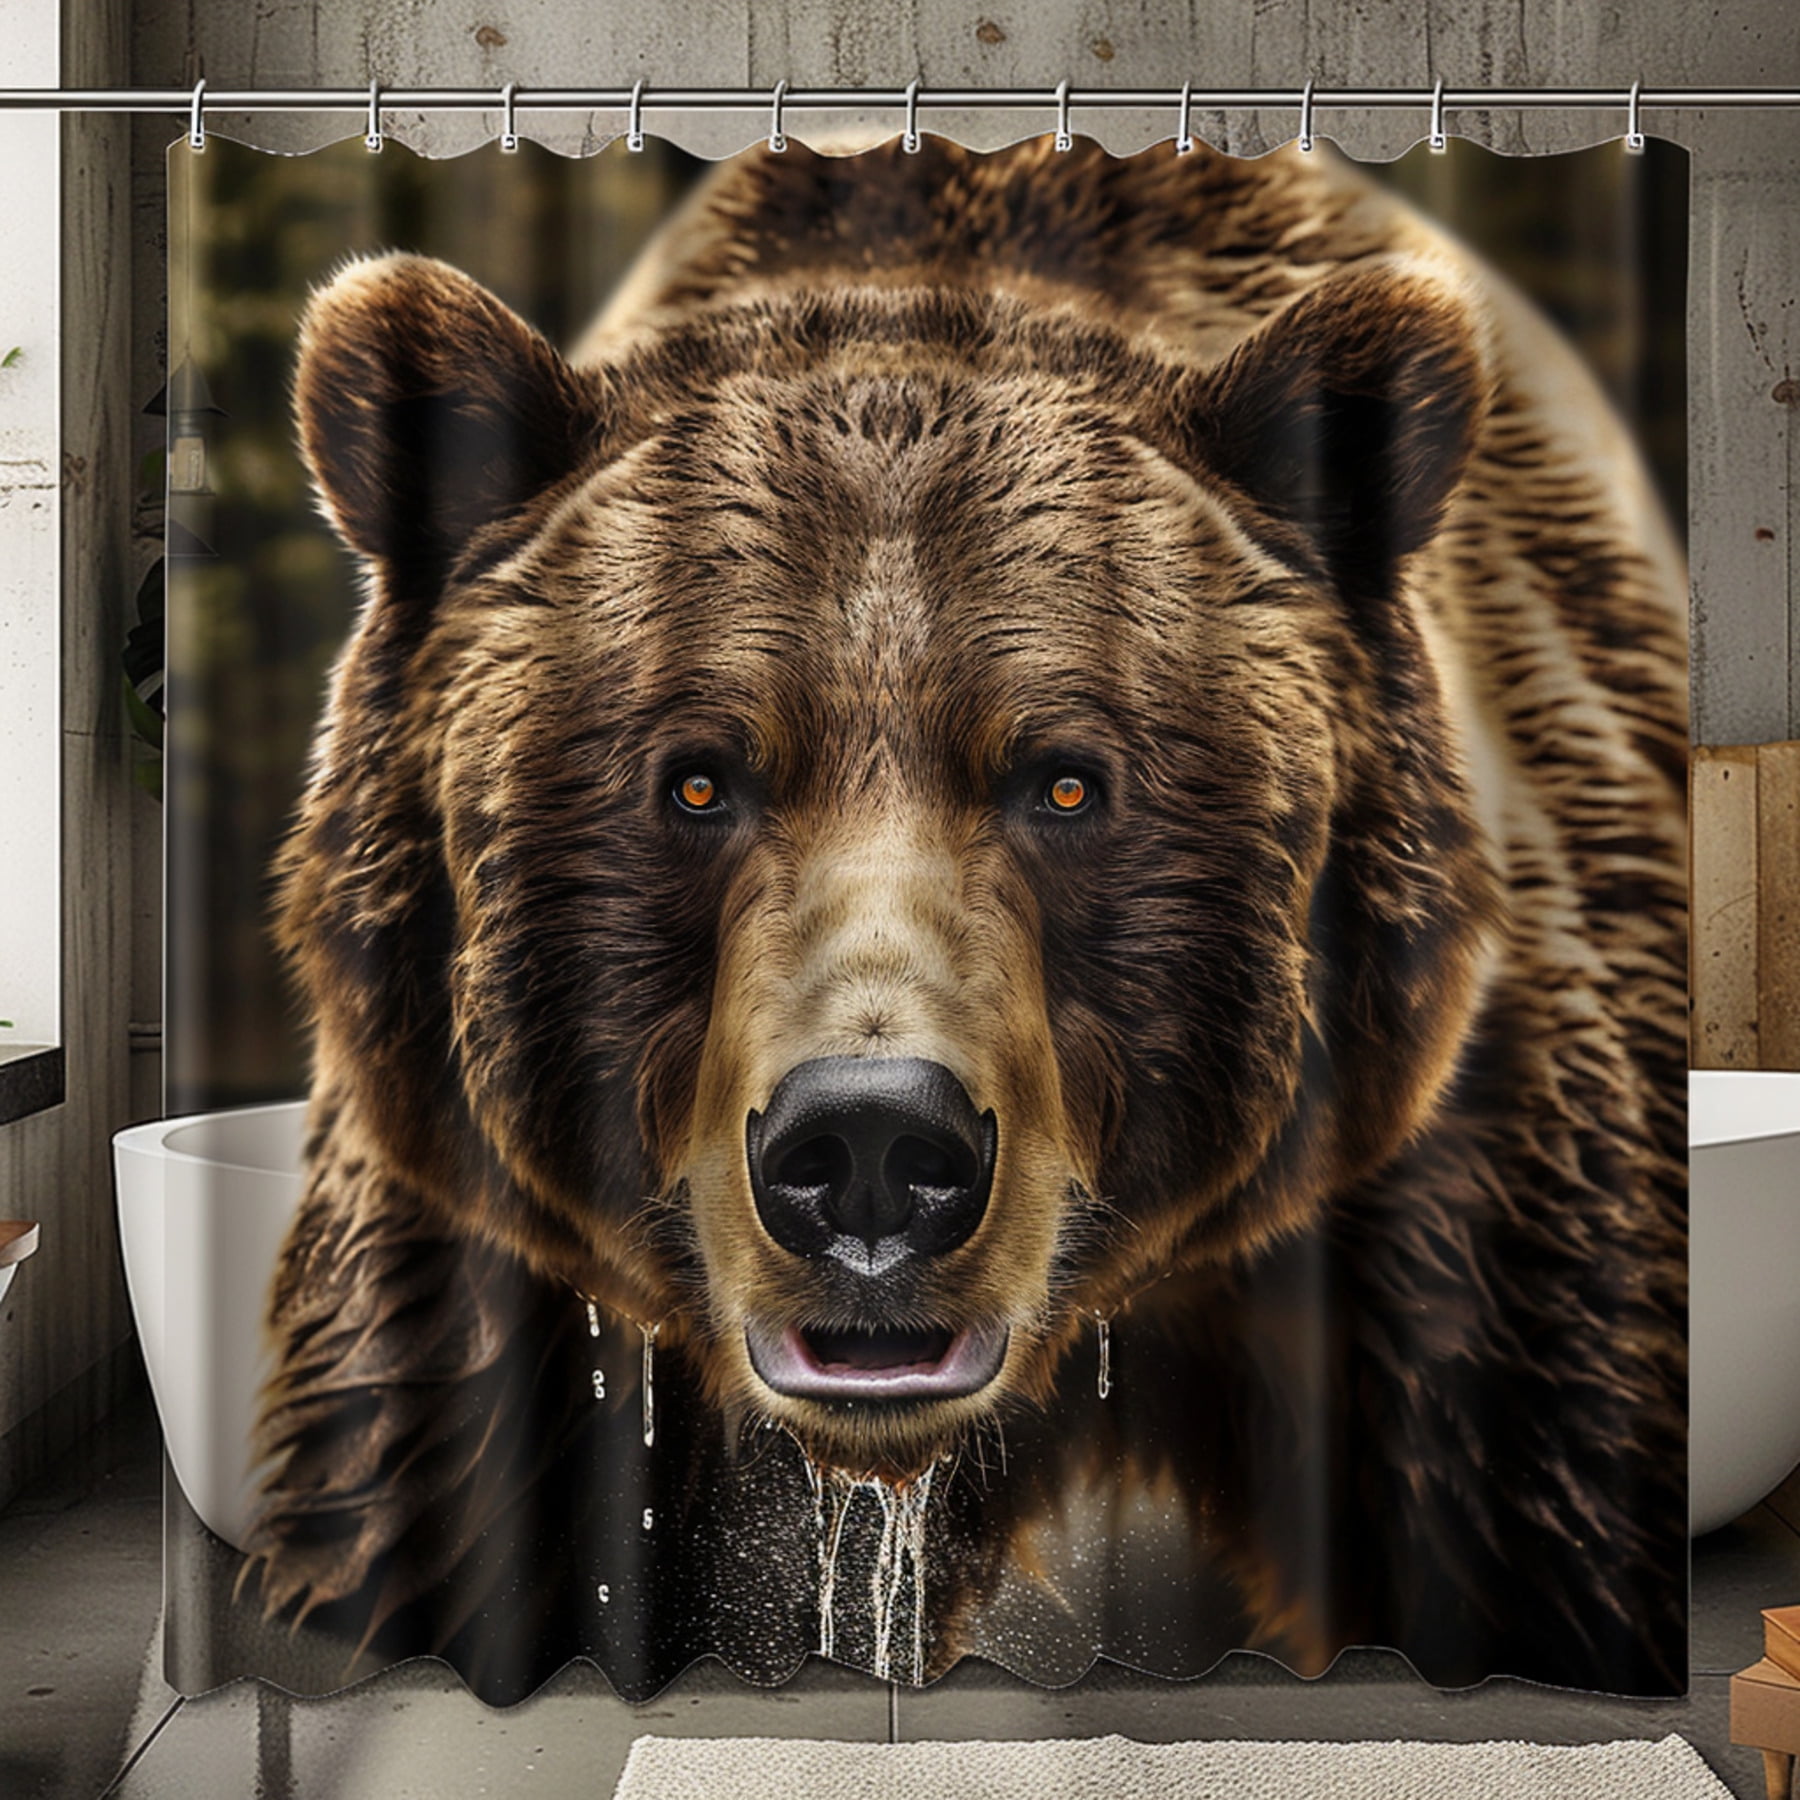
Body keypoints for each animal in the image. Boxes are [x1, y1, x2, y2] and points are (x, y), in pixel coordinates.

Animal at [244, 135, 1687, 1704]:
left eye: (1065, 779)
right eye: (695, 778)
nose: (872, 1147)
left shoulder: (1453, 1233)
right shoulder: (502, 1308)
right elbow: (420, 1524)